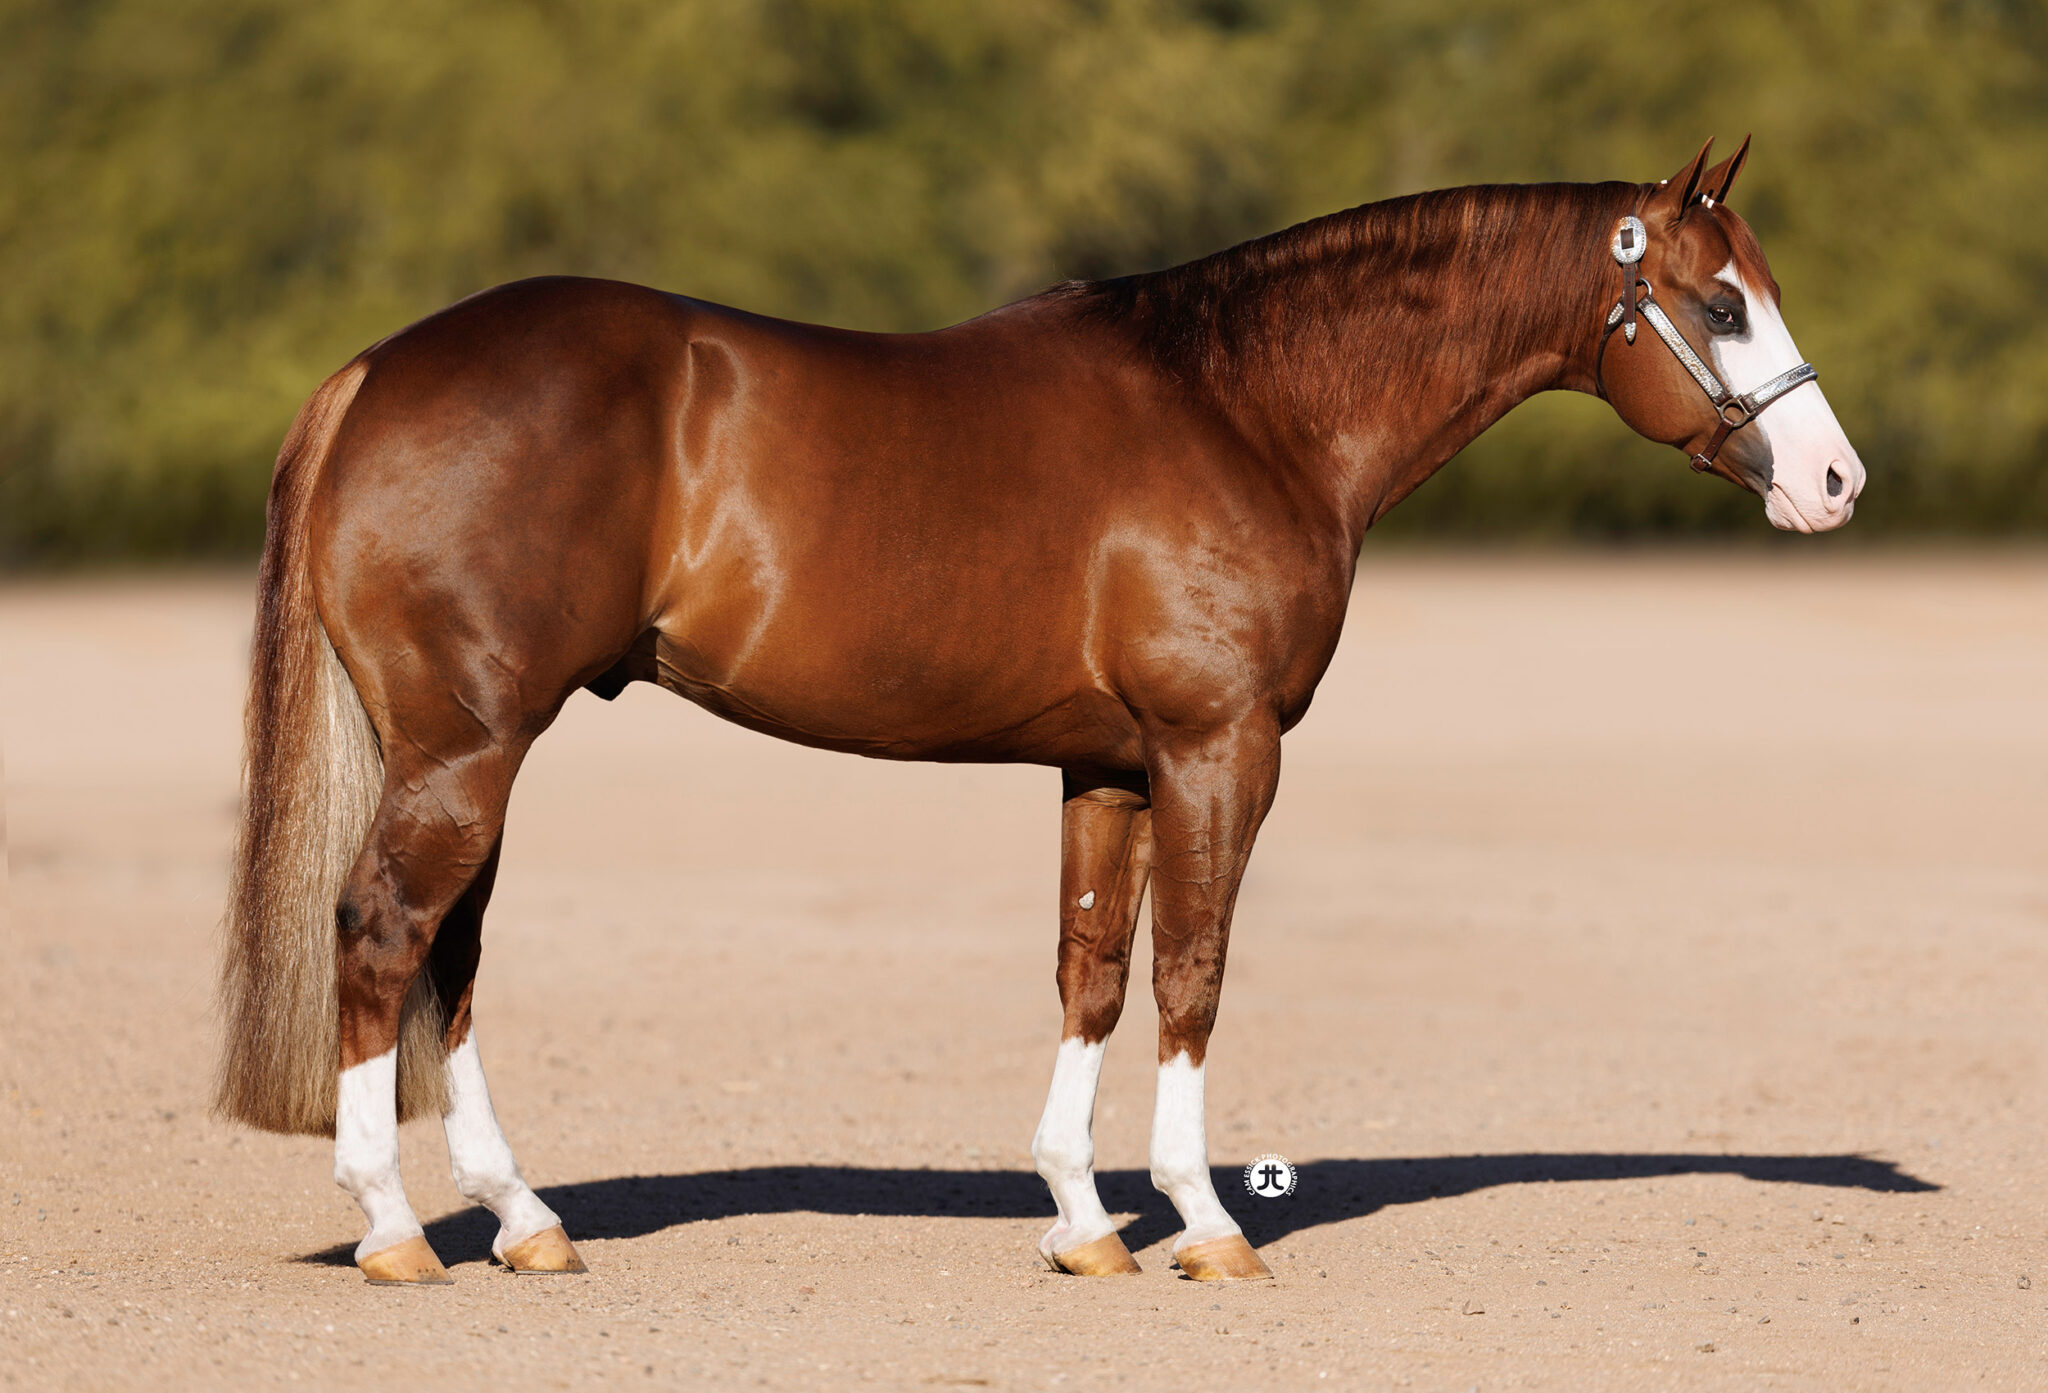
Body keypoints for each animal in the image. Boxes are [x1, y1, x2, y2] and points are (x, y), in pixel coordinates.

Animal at [214, 137, 1863, 1285]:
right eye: (1721, 302)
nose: (1837, 481)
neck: (1247, 406)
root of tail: (377, 371)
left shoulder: (1108, 767)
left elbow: (1092, 975)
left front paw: (1083, 1221)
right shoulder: (1219, 750)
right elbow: (1193, 973)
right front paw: (1206, 1222)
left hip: (471, 752)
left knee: (452, 962)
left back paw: (524, 1218)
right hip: (468, 749)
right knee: (387, 934)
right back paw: (395, 1229)